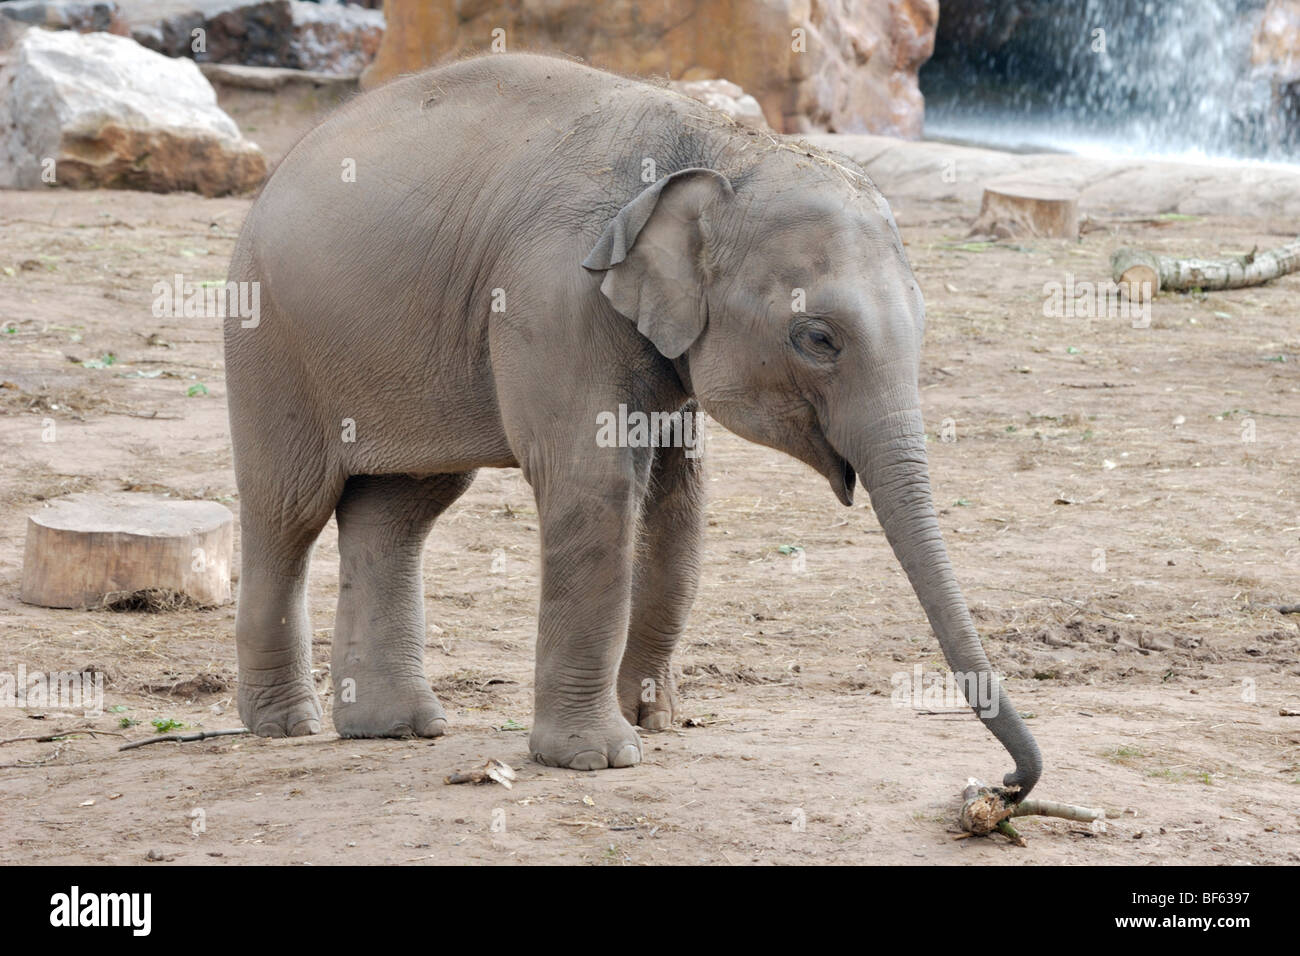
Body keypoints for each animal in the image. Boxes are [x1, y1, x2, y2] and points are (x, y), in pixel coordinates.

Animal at [223, 52, 1043, 796]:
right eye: (818, 338)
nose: (1005, 786)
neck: (724, 147)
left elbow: (678, 500)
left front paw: (654, 718)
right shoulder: (550, 296)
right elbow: (595, 487)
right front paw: (599, 757)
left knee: (401, 509)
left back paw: (396, 727)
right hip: (269, 340)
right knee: (289, 512)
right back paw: (284, 724)